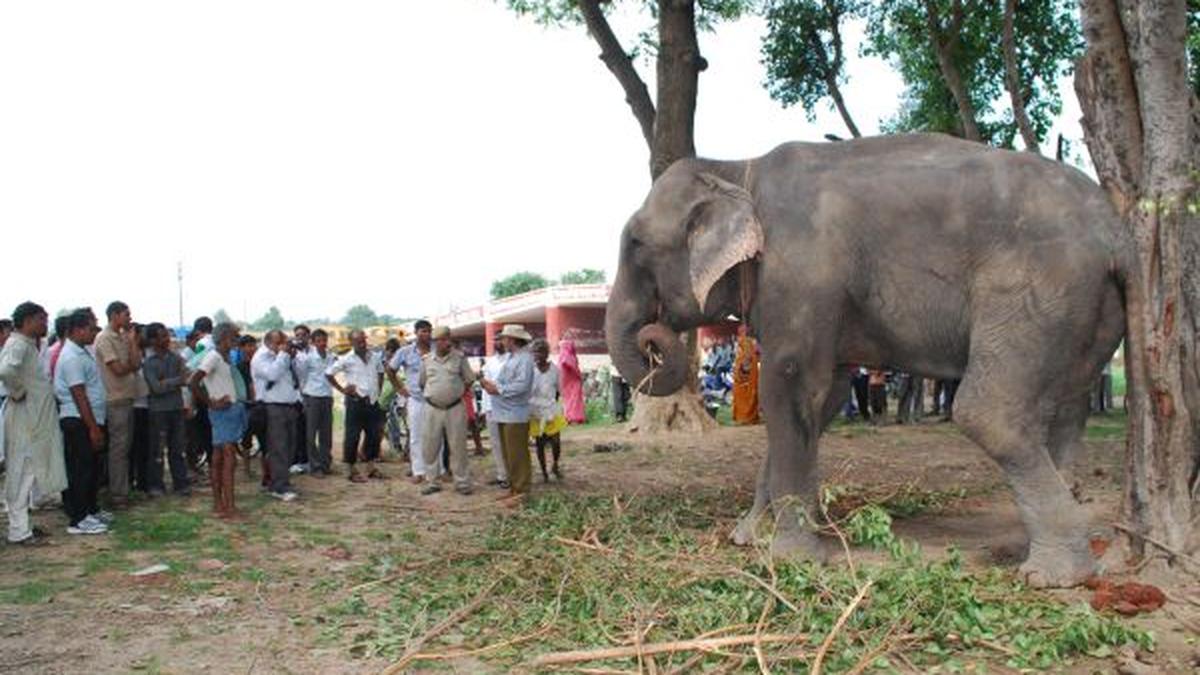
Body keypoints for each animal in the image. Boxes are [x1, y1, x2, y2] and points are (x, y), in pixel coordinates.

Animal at [604, 133, 1128, 588]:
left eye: (636, 245)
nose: (653, 337)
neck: (736, 168)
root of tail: (1113, 230)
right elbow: (820, 400)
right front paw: (749, 536)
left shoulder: (800, 274)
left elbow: (789, 383)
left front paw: (792, 557)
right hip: (1087, 311)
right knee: (1063, 409)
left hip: (1037, 291)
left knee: (987, 412)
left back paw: (1054, 575)